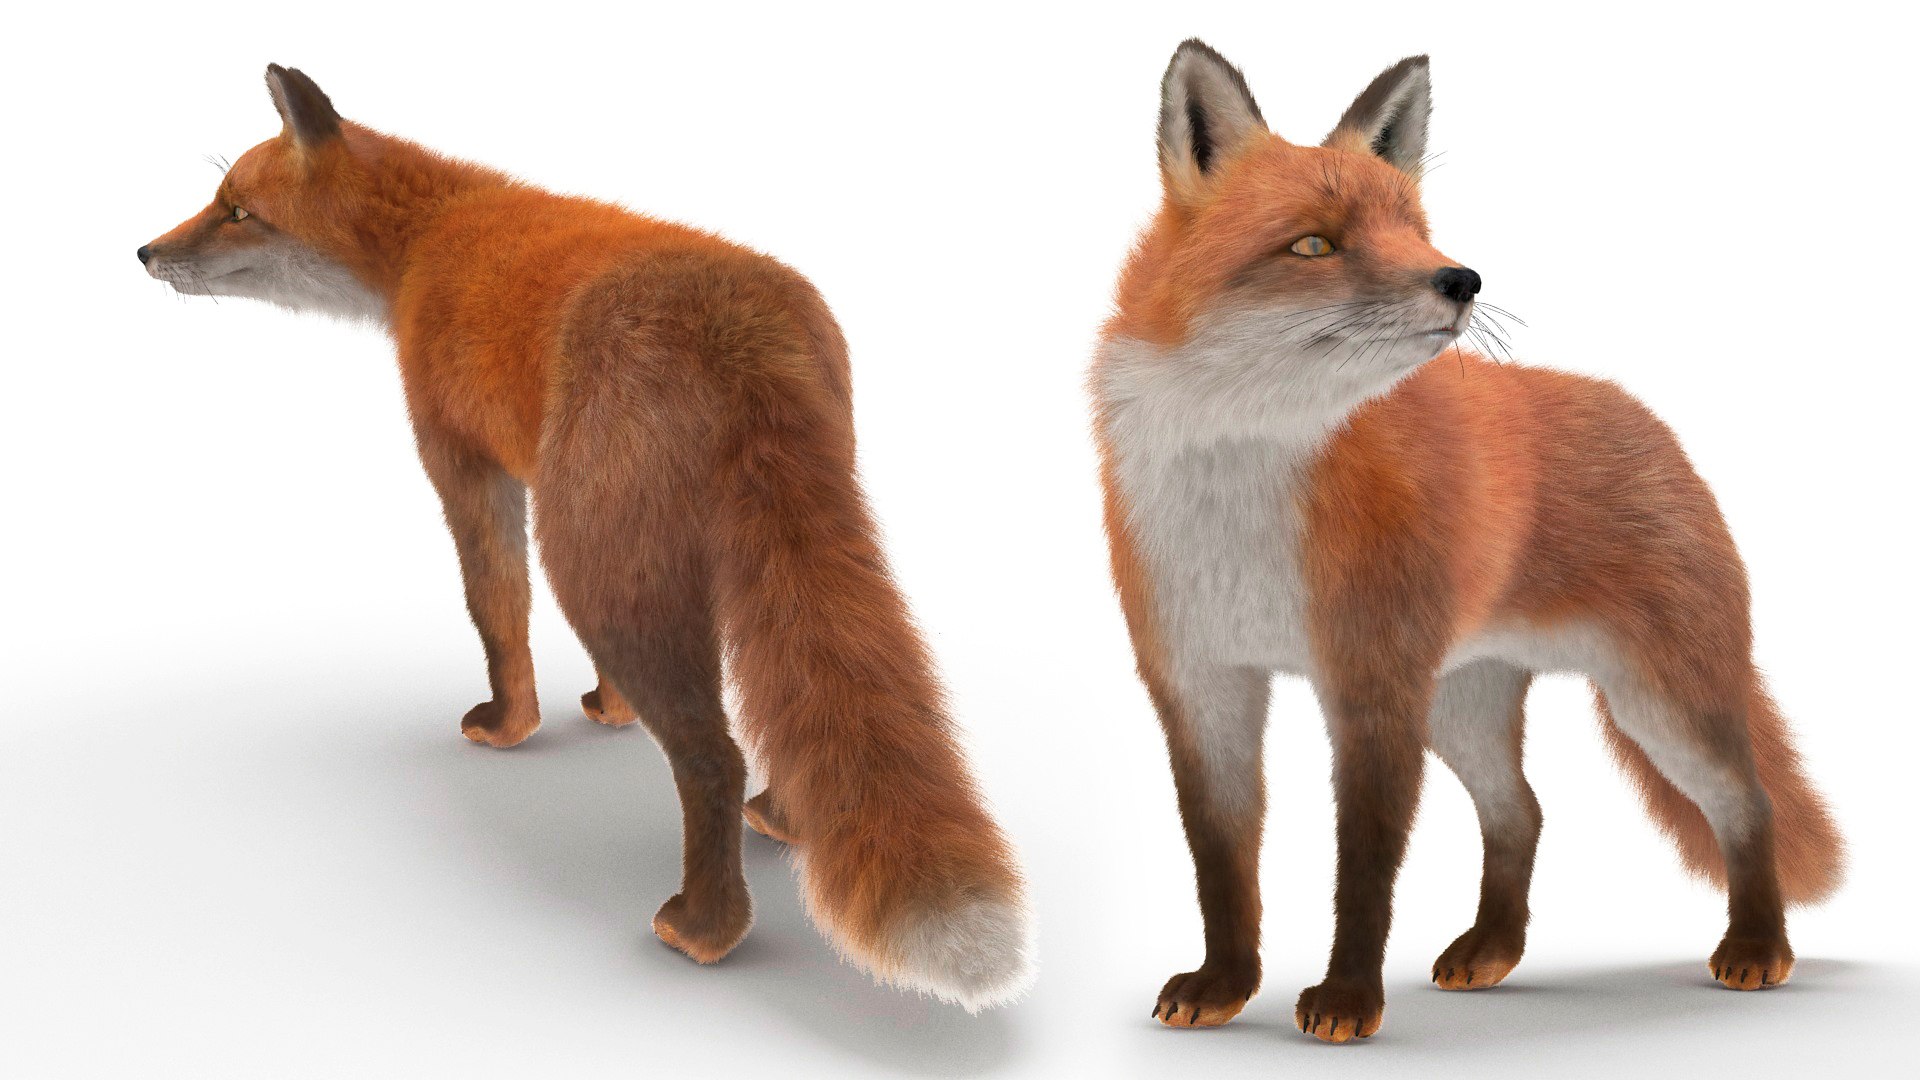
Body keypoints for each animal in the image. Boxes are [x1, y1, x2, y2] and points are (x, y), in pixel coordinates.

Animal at [138, 65, 1033, 1010]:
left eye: (236, 210)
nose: (145, 253)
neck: (433, 234)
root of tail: (741, 334)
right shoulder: (543, 479)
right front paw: (608, 708)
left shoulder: (467, 464)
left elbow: (496, 609)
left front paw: (511, 725)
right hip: (712, 547)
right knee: (797, 700)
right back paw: (787, 821)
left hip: (596, 564)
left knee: (714, 756)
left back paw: (706, 929)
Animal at [1091, 41, 1844, 1042]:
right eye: (1315, 244)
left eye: (1415, 231)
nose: (1462, 279)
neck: (1241, 485)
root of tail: (1645, 417)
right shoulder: (1200, 684)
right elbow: (1223, 869)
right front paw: (1225, 984)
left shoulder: (1371, 688)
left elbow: (1362, 878)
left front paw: (1346, 1000)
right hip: (1464, 709)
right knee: (1522, 811)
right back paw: (1492, 950)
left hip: (1656, 703)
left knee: (1746, 803)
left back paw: (1759, 948)